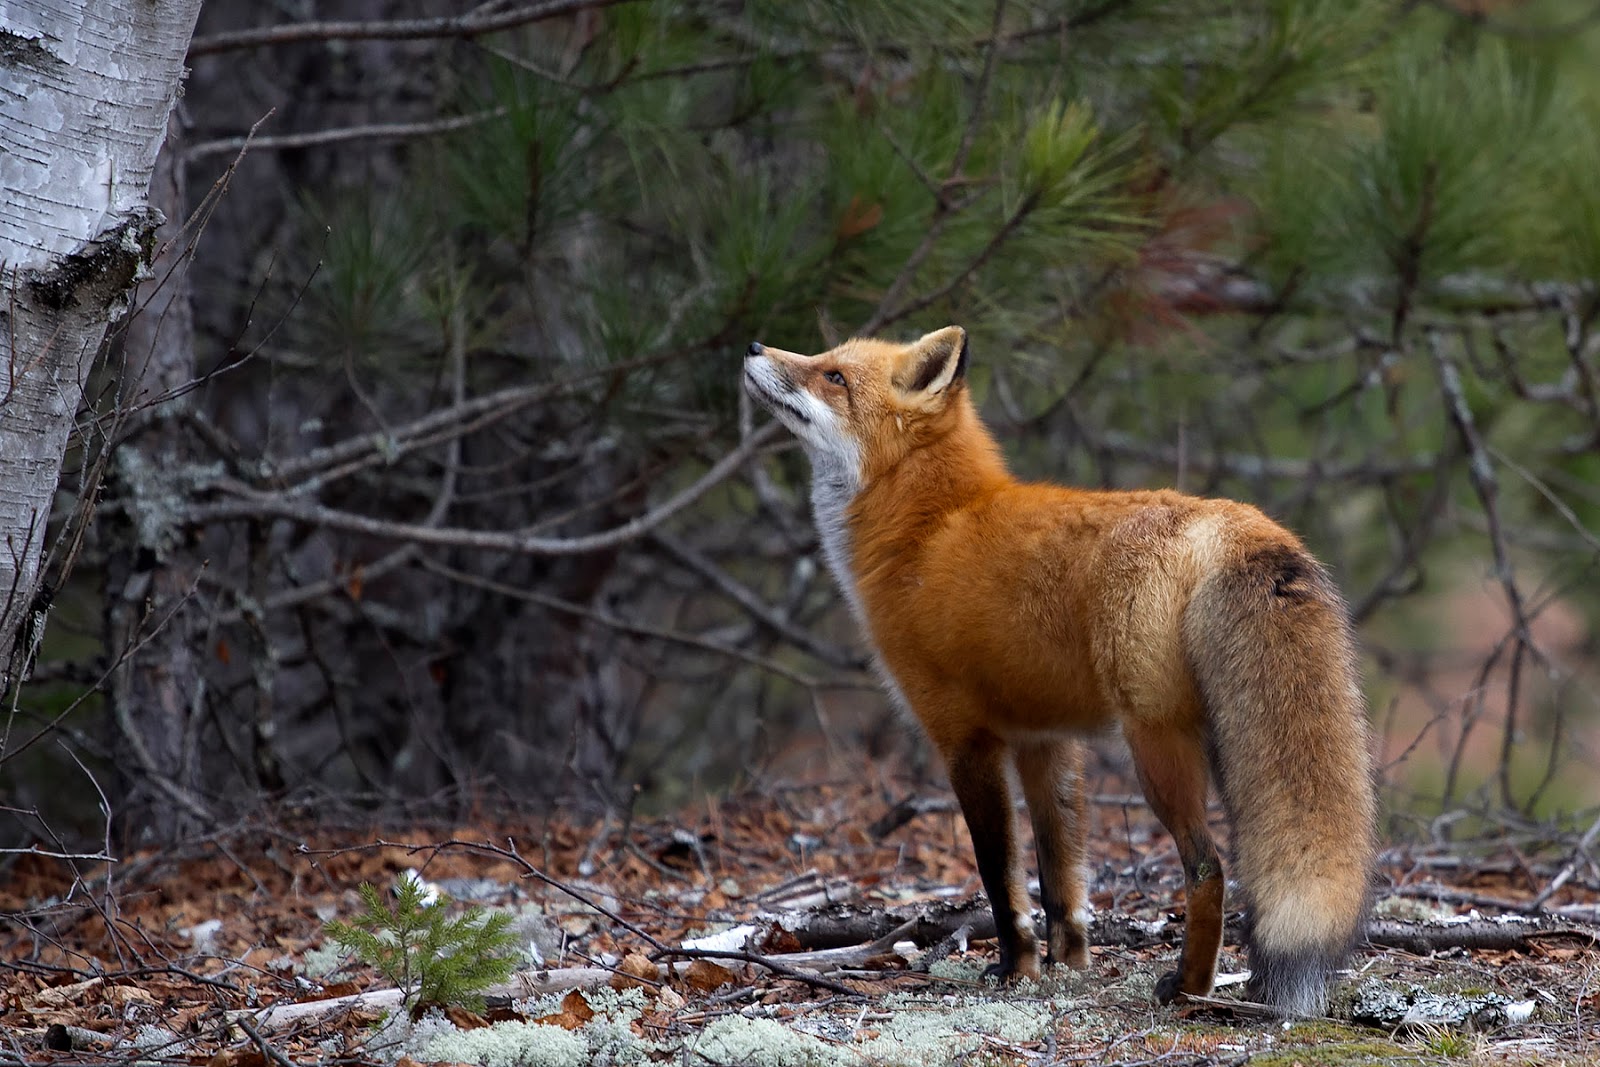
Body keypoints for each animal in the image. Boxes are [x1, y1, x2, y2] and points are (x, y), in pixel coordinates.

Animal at [741, 325, 1377, 1017]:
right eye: (823, 359)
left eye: (833, 377)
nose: (754, 348)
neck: (926, 527)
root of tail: (1234, 524)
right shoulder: (1046, 740)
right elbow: (1061, 881)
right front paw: (1067, 965)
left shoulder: (965, 737)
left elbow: (1001, 878)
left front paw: (1016, 969)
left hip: (1155, 747)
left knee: (1209, 869)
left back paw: (1188, 986)